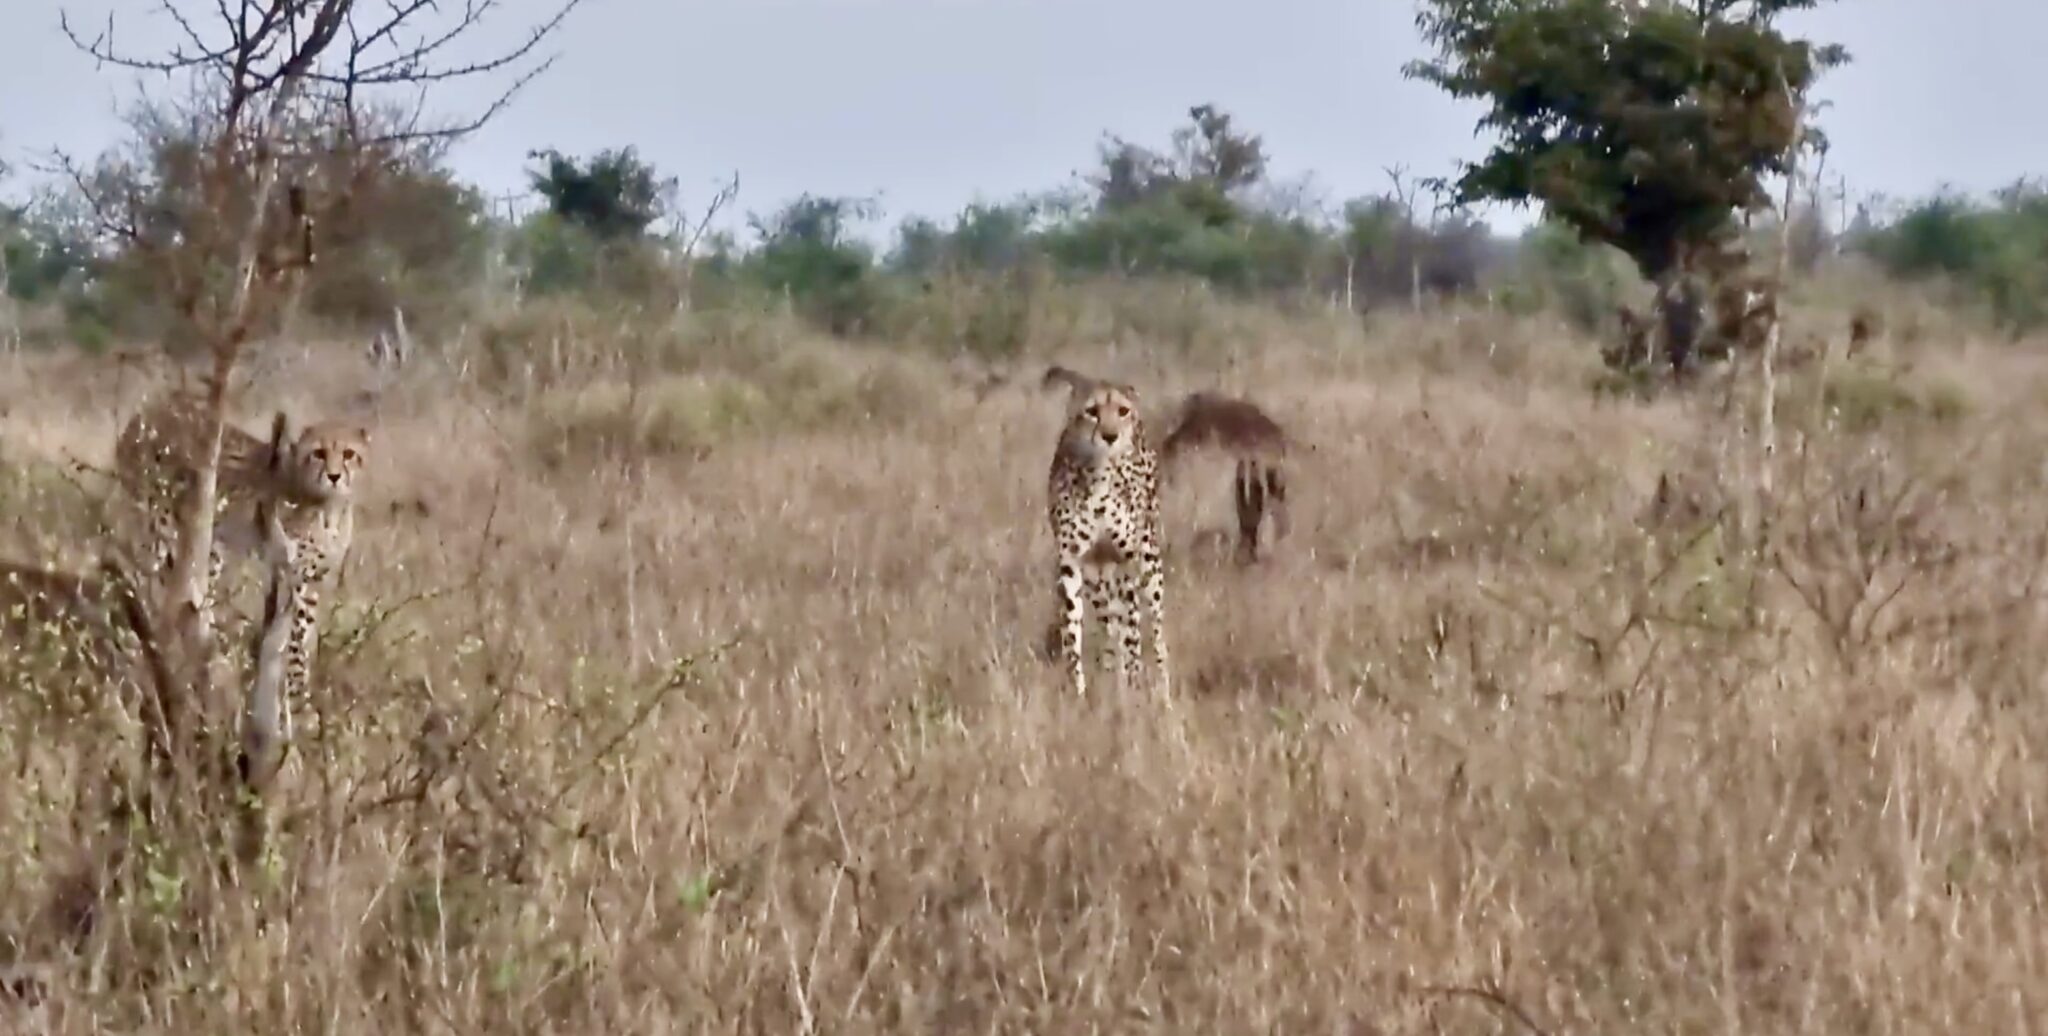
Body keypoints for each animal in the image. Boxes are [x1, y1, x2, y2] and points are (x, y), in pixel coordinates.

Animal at [1042, 366, 1169, 697]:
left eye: (1122, 411)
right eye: (1092, 411)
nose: (1110, 436)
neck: (1097, 471)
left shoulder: (1127, 559)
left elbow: (1133, 635)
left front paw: (1136, 688)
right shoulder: (1073, 563)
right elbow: (1073, 634)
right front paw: (1078, 693)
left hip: (1148, 564)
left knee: (1152, 628)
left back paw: (1162, 692)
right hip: (1098, 576)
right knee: (1110, 627)